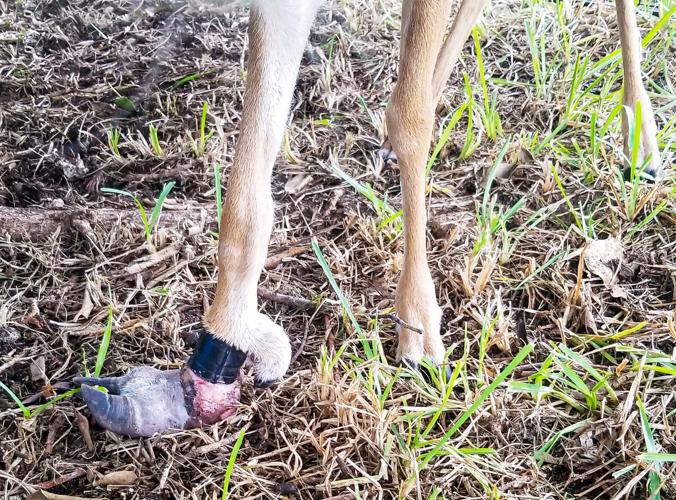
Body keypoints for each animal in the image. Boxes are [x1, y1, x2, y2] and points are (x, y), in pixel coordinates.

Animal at [74, 0, 663, 437]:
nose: (201, 389)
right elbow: (249, 183)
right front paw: (233, 329)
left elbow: (412, 117)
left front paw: (418, 322)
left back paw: (642, 134)